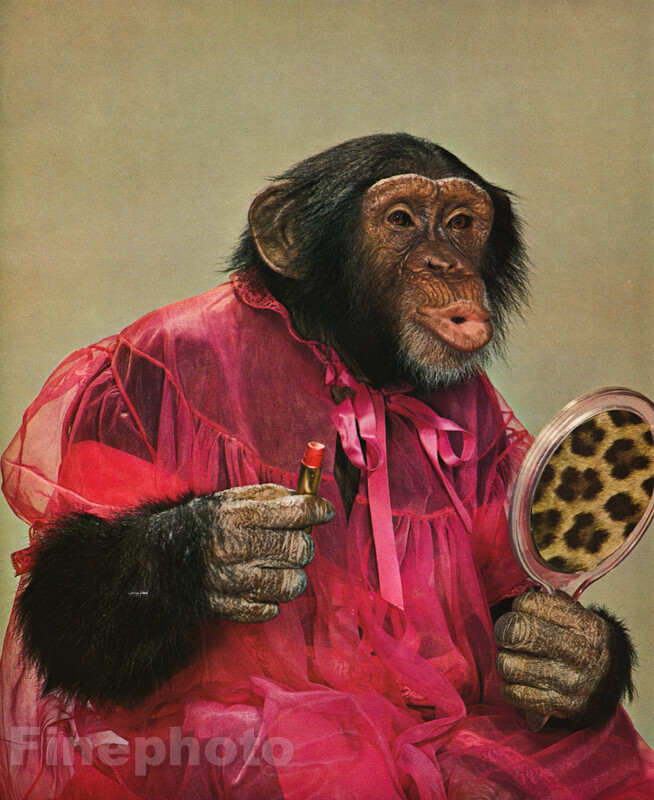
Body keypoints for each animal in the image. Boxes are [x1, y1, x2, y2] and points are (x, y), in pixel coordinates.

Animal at [1, 134, 646, 799]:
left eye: (462, 224)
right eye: (402, 220)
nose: (444, 264)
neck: (345, 363)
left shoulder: (485, 415)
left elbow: (501, 597)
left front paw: (570, 655)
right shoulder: (132, 380)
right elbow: (68, 603)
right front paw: (229, 545)